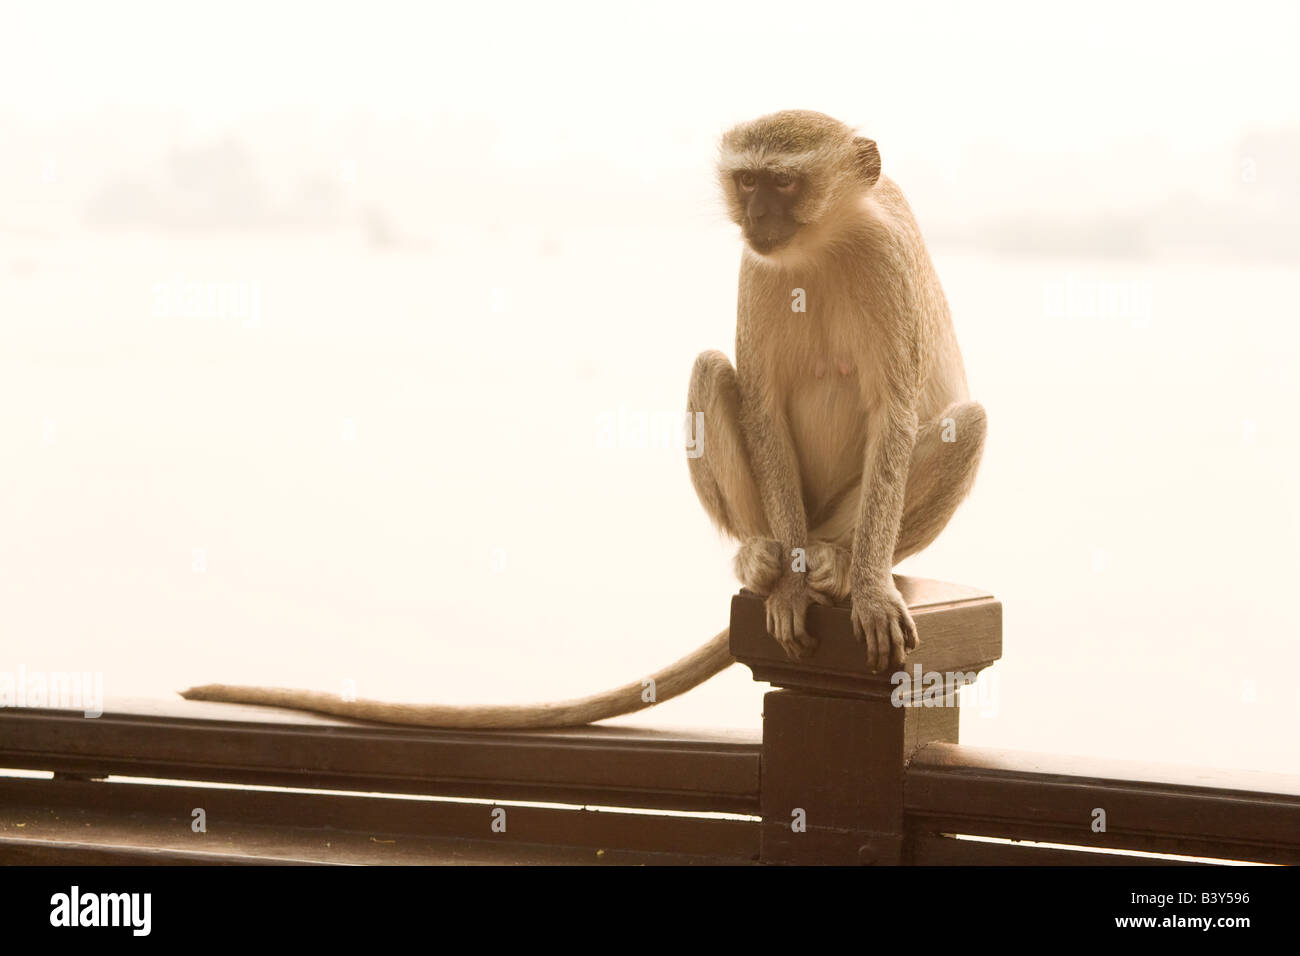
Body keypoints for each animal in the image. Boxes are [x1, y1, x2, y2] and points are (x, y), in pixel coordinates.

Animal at [181, 110, 984, 728]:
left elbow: (896, 414)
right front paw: (784, 588)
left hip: (840, 515)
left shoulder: (882, 263)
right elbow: (762, 405)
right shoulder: (758, 272)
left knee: (965, 422)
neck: (824, 245)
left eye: (784, 183)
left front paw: (871, 589)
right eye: (749, 182)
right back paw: (762, 557)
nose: (757, 216)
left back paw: (839, 564)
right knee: (712, 372)